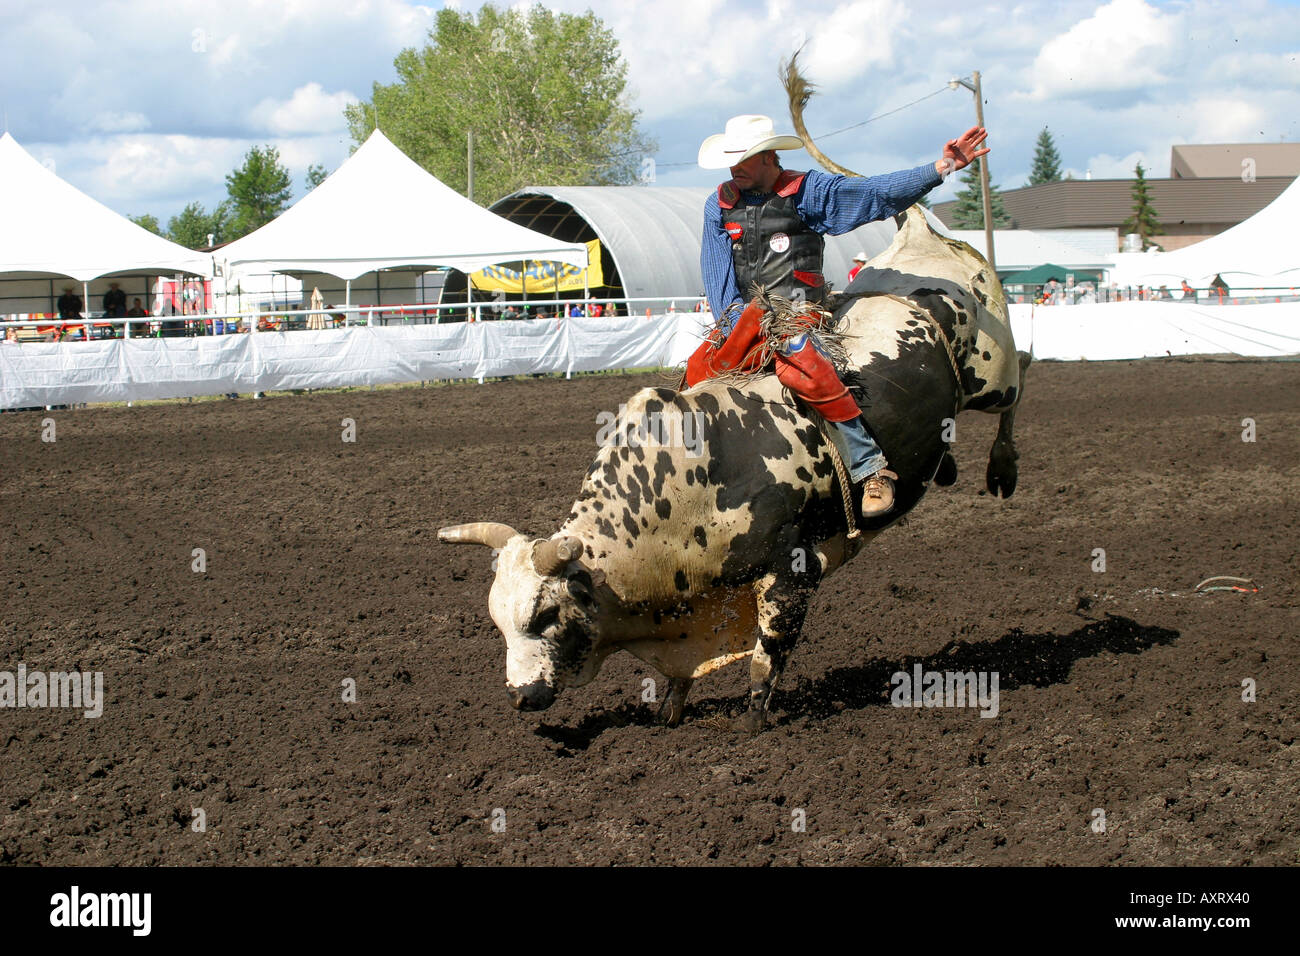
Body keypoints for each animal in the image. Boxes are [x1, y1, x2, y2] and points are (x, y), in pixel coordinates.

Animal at [439, 204, 1031, 732]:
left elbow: (766, 658)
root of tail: (920, 240)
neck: (685, 495)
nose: (522, 697)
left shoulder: (792, 573)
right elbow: (681, 678)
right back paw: (950, 466)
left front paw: (751, 724)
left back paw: (1001, 469)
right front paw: (669, 709)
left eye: (543, 617)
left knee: (1021, 375)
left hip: (993, 376)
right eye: (498, 622)